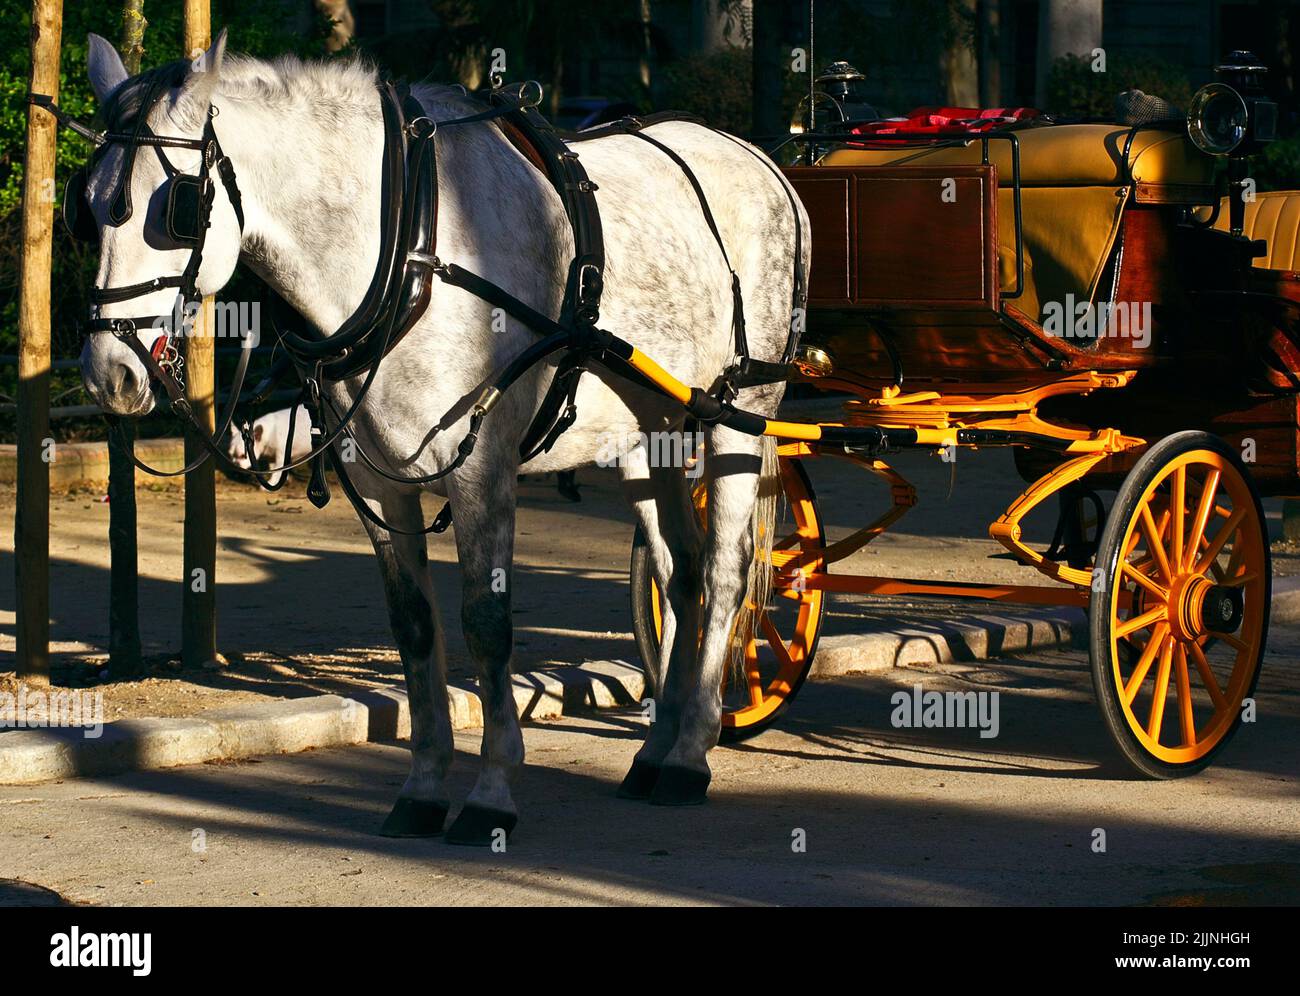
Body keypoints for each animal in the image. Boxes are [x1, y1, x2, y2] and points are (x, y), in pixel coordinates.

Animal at [76, 31, 809, 845]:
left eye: (176, 208)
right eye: (87, 209)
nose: (109, 375)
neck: (408, 245)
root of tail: (759, 157)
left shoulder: (481, 469)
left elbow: (484, 624)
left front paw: (491, 791)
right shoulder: (376, 481)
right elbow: (415, 628)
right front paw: (424, 788)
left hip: (740, 411)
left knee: (724, 573)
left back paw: (688, 754)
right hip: (649, 436)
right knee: (679, 575)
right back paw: (656, 748)